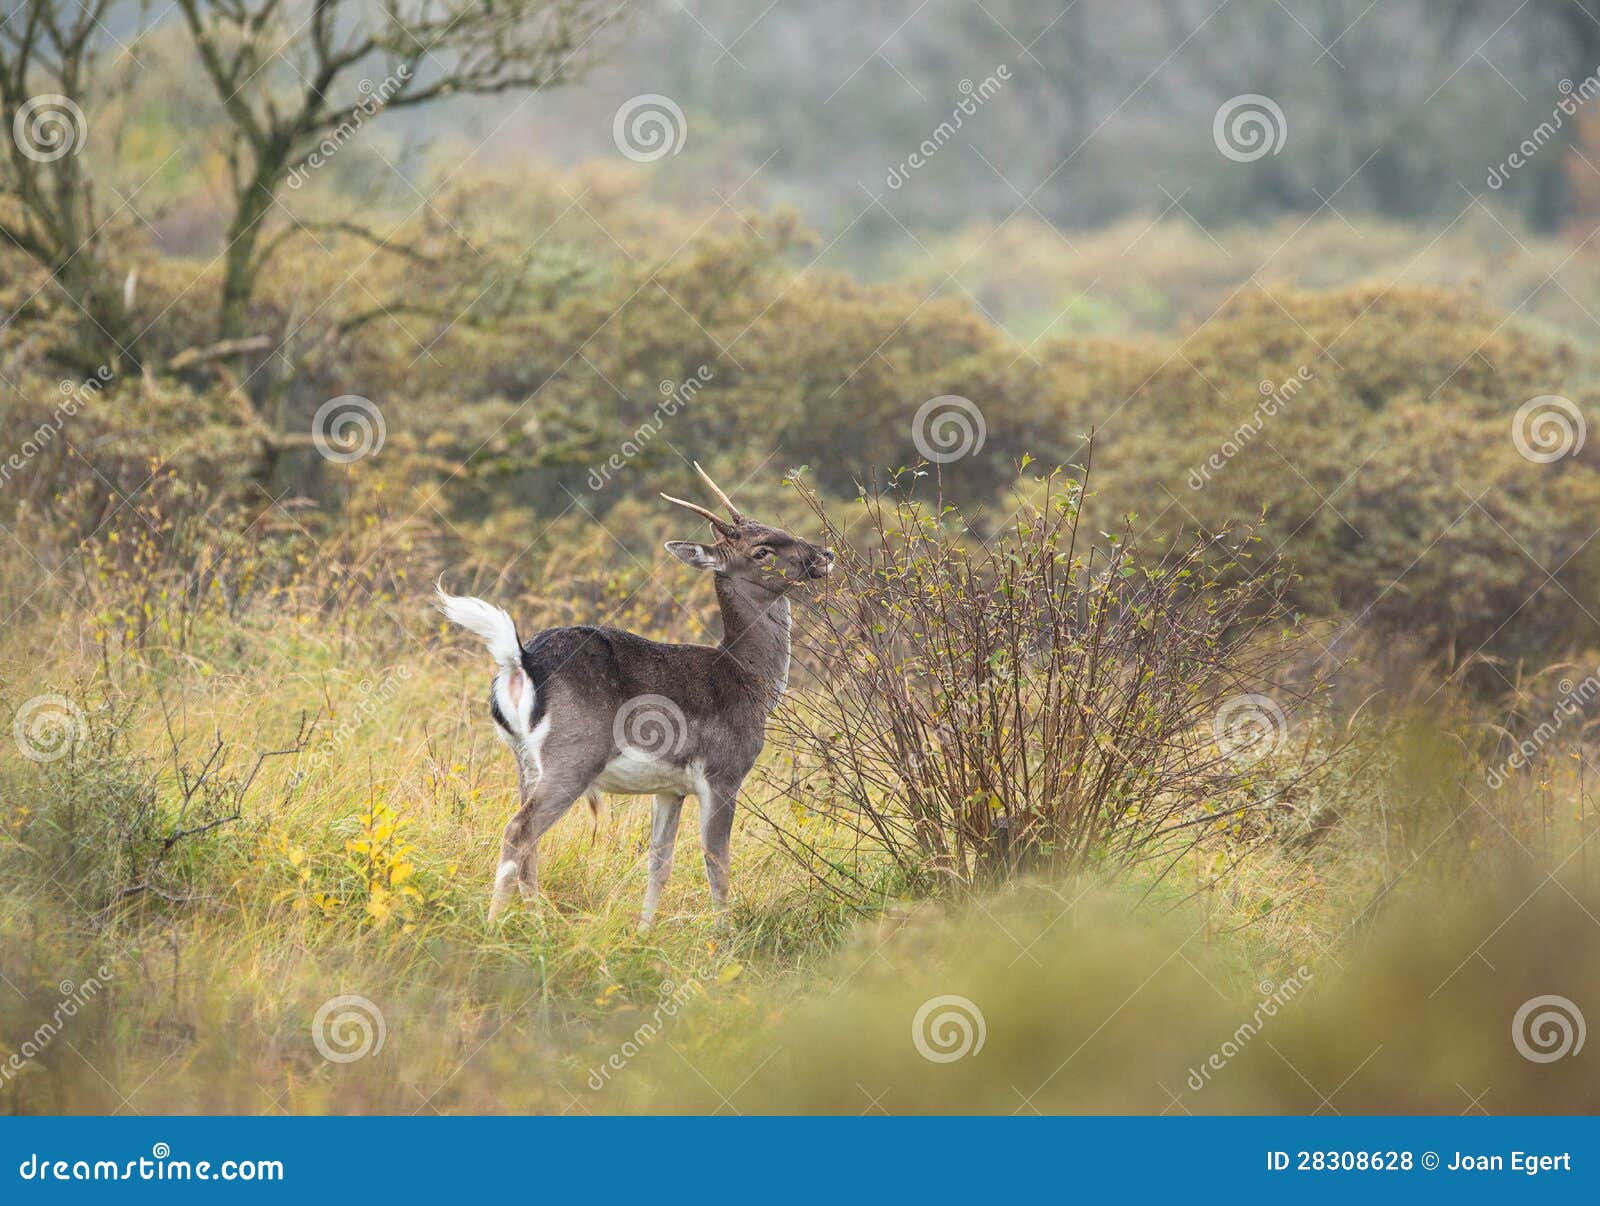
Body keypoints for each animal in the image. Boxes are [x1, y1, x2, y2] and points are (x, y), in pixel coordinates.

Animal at [436, 463, 834, 927]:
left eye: (778, 528)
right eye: (762, 550)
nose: (824, 554)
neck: (748, 680)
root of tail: (520, 659)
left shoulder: (670, 788)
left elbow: (659, 862)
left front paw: (644, 930)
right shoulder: (723, 772)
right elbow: (716, 862)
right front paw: (726, 934)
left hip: (524, 760)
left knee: (527, 842)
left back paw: (533, 920)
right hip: (573, 753)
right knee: (519, 830)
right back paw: (499, 923)